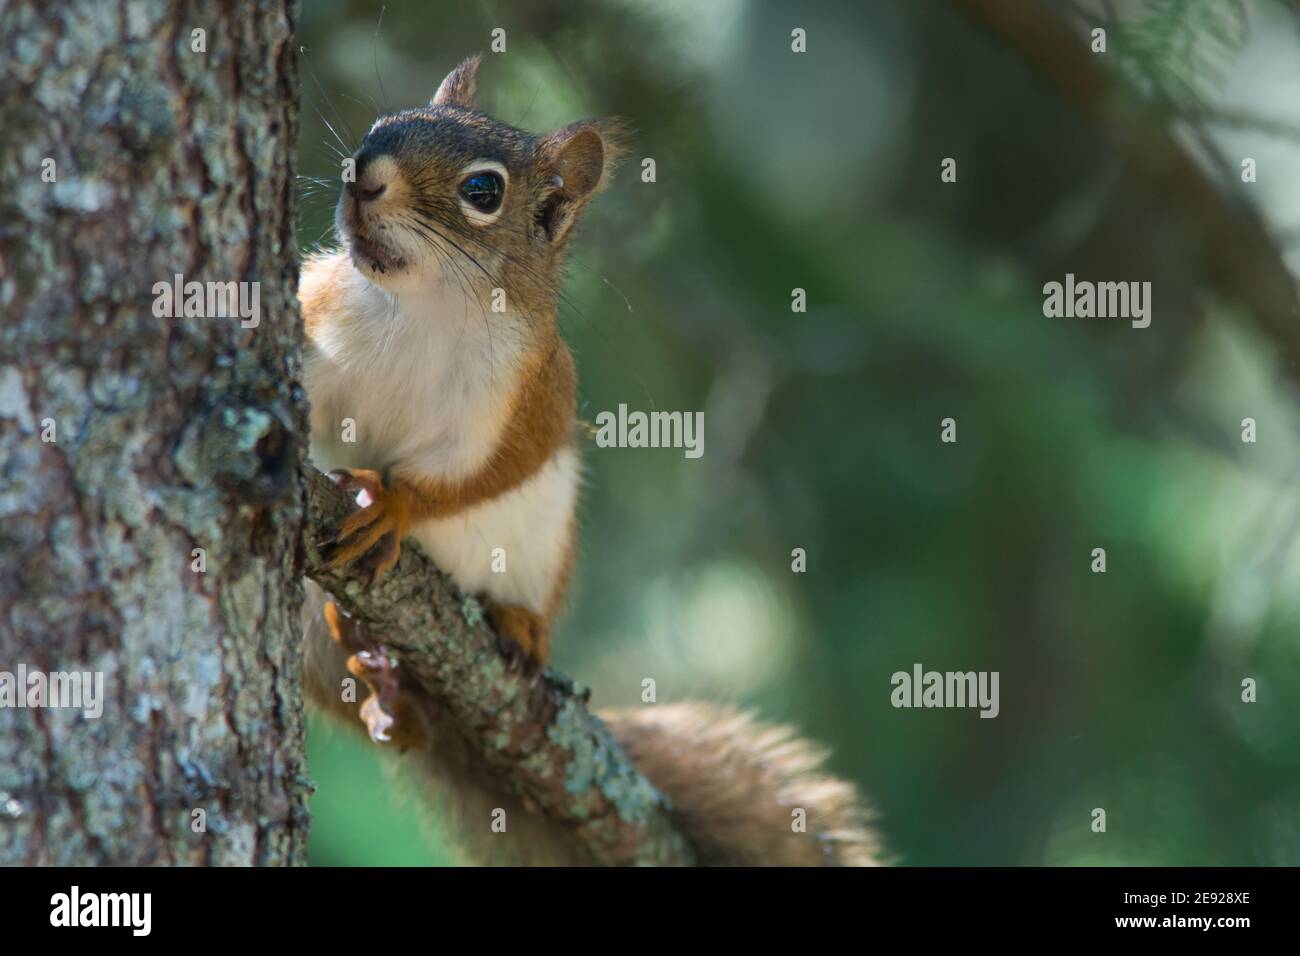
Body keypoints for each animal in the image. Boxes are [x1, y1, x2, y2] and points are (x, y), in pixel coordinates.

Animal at [298, 56, 880, 866]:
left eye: (483, 191)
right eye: (383, 123)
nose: (363, 172)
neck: (421, 307)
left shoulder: (531, 400)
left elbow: (487, 473)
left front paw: (393, 503)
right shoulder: (319, 321)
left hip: (544, 547)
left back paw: (507, 631)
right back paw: (378, 677)